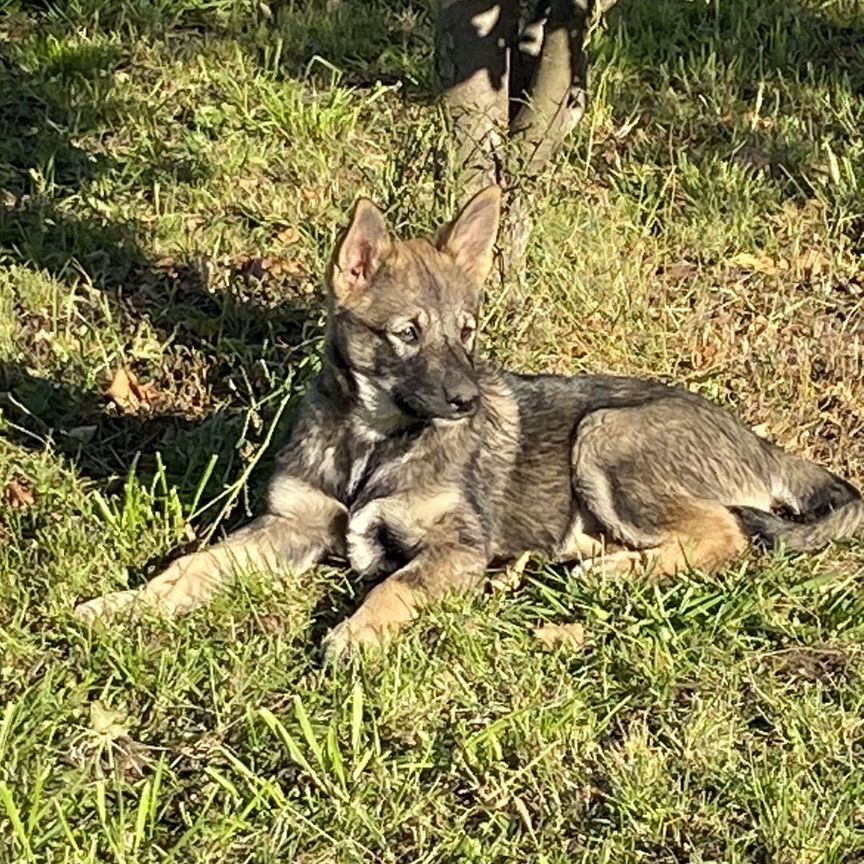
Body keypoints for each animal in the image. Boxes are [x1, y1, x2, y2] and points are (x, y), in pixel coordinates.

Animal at [76, 184, 864, 656]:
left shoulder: (456, 545)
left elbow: (394, 585)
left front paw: (356, 636)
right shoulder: (288, 525)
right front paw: (125, 604)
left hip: (605, 434)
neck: (375, 443)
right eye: (407, 334)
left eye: (467, 332)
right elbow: (194, 566)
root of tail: (760, 443)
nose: (468, 402)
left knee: (727, 535)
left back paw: (613, 573)